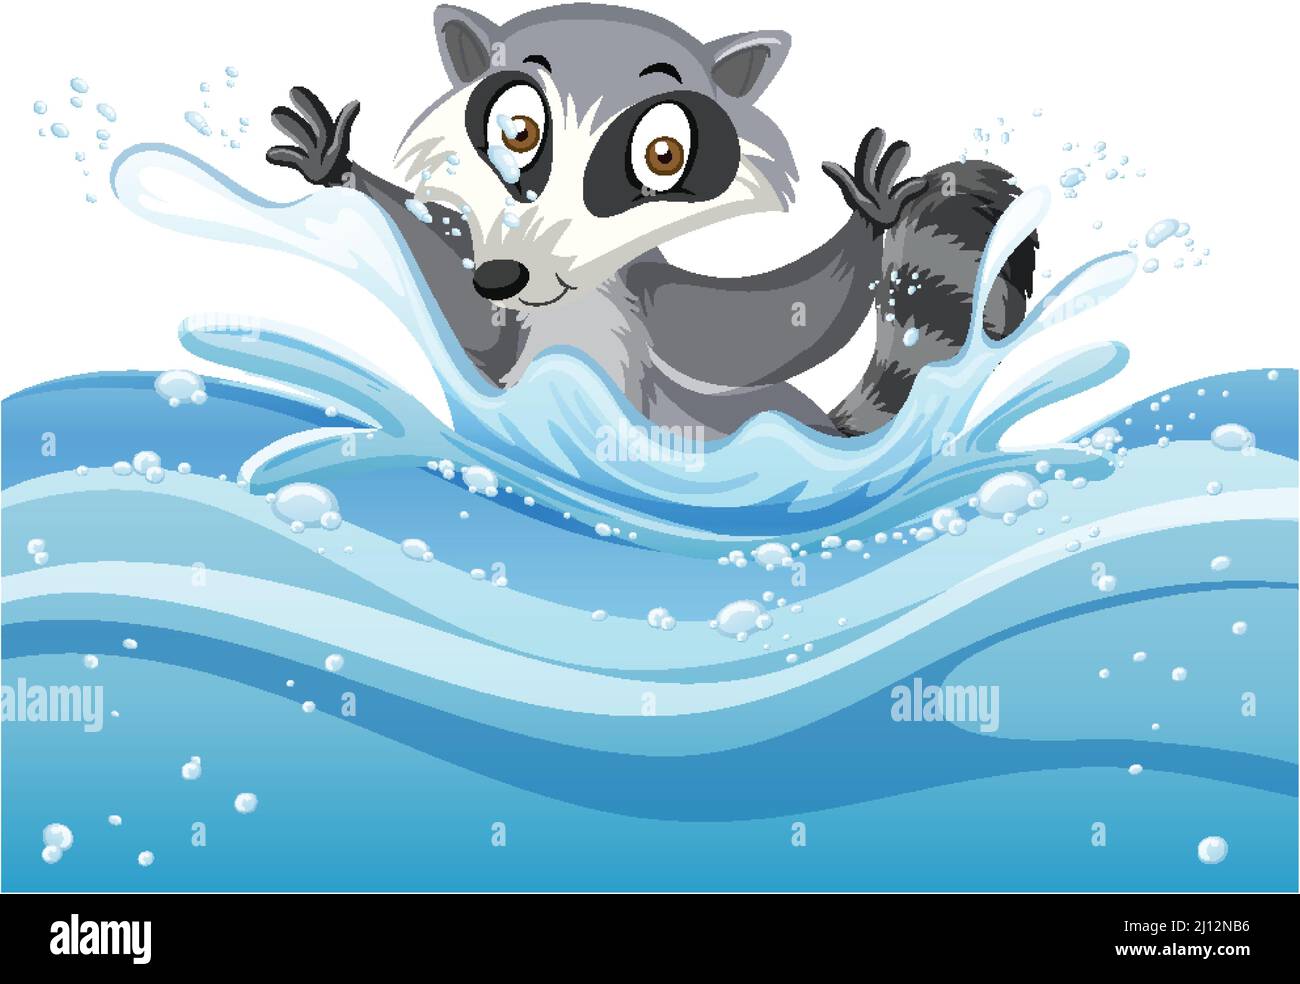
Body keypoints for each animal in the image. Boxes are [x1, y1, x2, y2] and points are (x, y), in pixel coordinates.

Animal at [267, 3, 1036, 438]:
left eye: (661, 153)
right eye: (517, 132)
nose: (505, 274)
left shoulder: (649, 298)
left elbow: (775, 327)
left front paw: (867, 219)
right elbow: (470, 324)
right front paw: (343, 169)